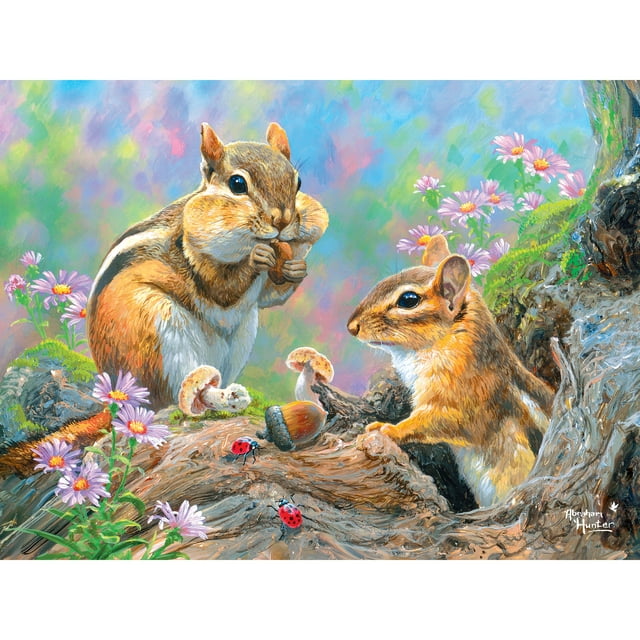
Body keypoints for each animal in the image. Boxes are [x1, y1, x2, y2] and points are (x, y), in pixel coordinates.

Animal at [86, 122, 328, 409]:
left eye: (298, 182)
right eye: (237, 184)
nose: (282, 220)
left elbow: (270, 296)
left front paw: (297, 269)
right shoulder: (193, 260)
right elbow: (220, 289)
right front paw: (256, 258)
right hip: (155, 332)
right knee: (177, 393)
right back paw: (228, 398)